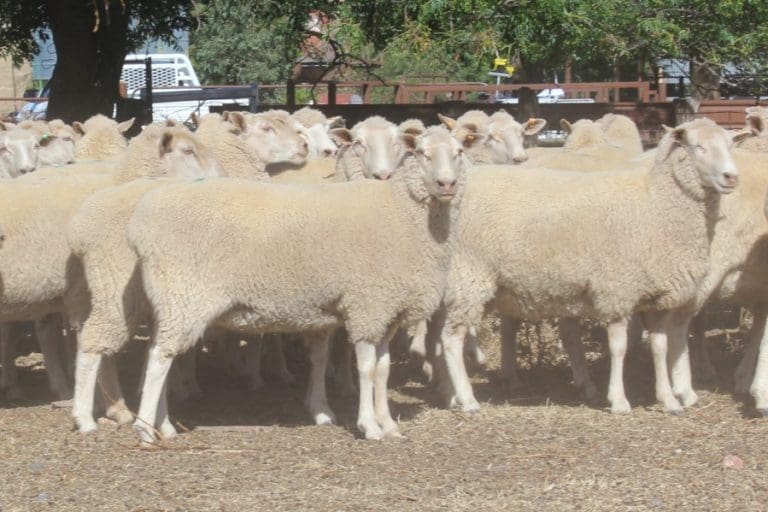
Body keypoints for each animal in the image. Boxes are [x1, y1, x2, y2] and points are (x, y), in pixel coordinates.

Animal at [69, 116, 309, 433]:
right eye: (266, 128)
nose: (305, 146)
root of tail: (80, 228)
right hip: (116, 290)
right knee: (94, 340)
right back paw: (87, 417)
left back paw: (113, 407)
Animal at [124, 126, 466, 443]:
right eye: (422, 153)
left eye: (460, 151)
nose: (446, 184)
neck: (402, 212)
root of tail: (140, 222)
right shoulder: (366, 307)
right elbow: (367, 369)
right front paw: (369, 426)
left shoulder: (387, 313)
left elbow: (382, 370)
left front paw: (389, 425)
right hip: (184, 297)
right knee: (159, 360)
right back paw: (145, 430)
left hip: (172, 303)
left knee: (160, 355)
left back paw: (165, 426)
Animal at [431, 118, 741, 417]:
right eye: (698, 146)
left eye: (730, 145)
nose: (731, 177)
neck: (656, 204)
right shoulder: (617, 290)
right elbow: (618, 348)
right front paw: (618, 400)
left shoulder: (657, 299)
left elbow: (659, 347)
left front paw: (668, 399)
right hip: (468, 276)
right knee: (452, 339)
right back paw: (467, 399)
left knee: (440, 337)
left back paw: (450, 395)